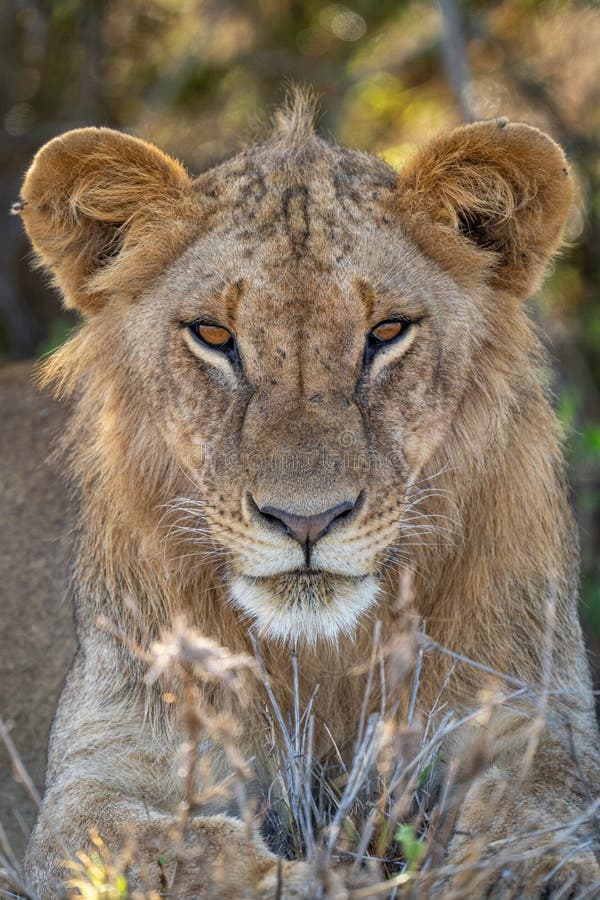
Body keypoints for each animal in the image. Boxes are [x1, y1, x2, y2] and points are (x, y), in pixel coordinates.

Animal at [1, 96, 599, 897]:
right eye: (212, 334)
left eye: (387, 331)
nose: (306, 520)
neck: (320, 658)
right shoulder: (95, 777)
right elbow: (173, 848)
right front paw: (307, 881)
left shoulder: (535, 722)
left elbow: (531, 812)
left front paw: (540, 872)